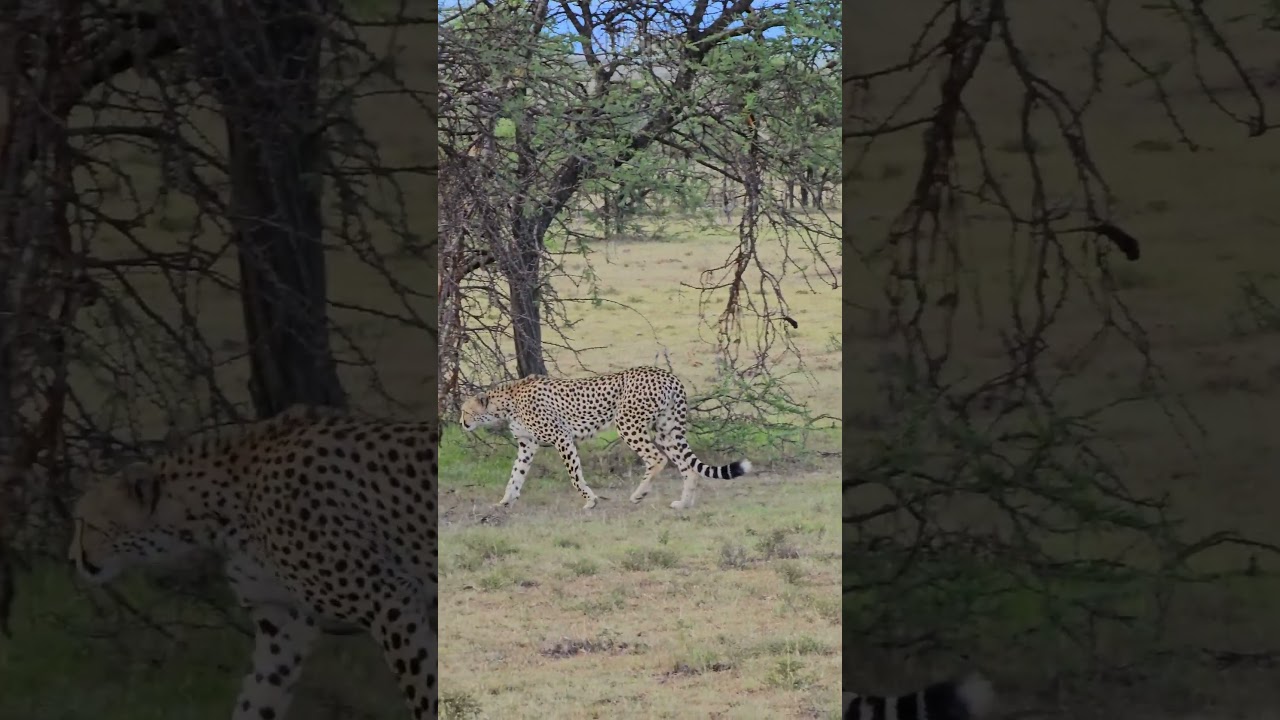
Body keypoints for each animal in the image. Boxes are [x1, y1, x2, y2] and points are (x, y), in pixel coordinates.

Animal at [68, 404, 438, 720]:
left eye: (87, 523)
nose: (72, 559)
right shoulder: (281, 623)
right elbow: (258, 697)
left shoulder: (391, 599)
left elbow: (424, 688)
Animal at [459, 365, 752, 510]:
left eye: (466, 411)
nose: (462, 423)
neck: (506, 402)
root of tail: (667, 375)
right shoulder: (527, 445)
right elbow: (515, 475)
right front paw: (506, 501)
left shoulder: (562, 437)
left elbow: (574, 475)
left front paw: (590, 500)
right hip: (667, 429)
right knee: (687, 467)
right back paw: (684, 504)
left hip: (628, 423)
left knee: (657, 459)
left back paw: (639, 494)